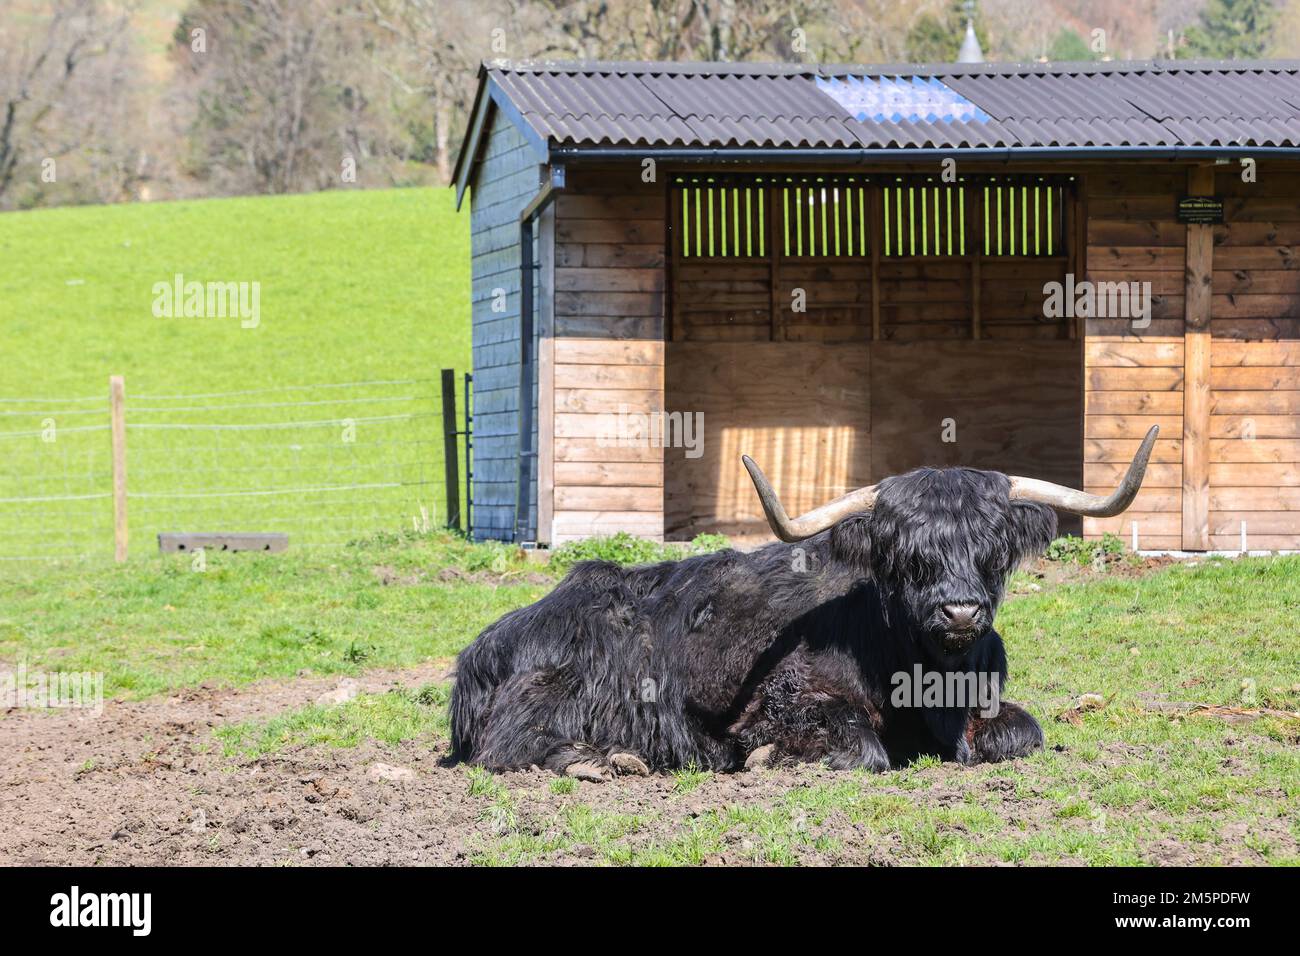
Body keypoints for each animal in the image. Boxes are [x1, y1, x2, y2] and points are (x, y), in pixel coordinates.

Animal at [448, 427, 1157, 780]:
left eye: (991, 546)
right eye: (905, 553)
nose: (959, 613)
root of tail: (484, 645)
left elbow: (1025, 732)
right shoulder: (778, 704)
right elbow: (860, 747)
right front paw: (769, 758)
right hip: (557, 688)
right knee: (509, 745)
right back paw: (599, 761)